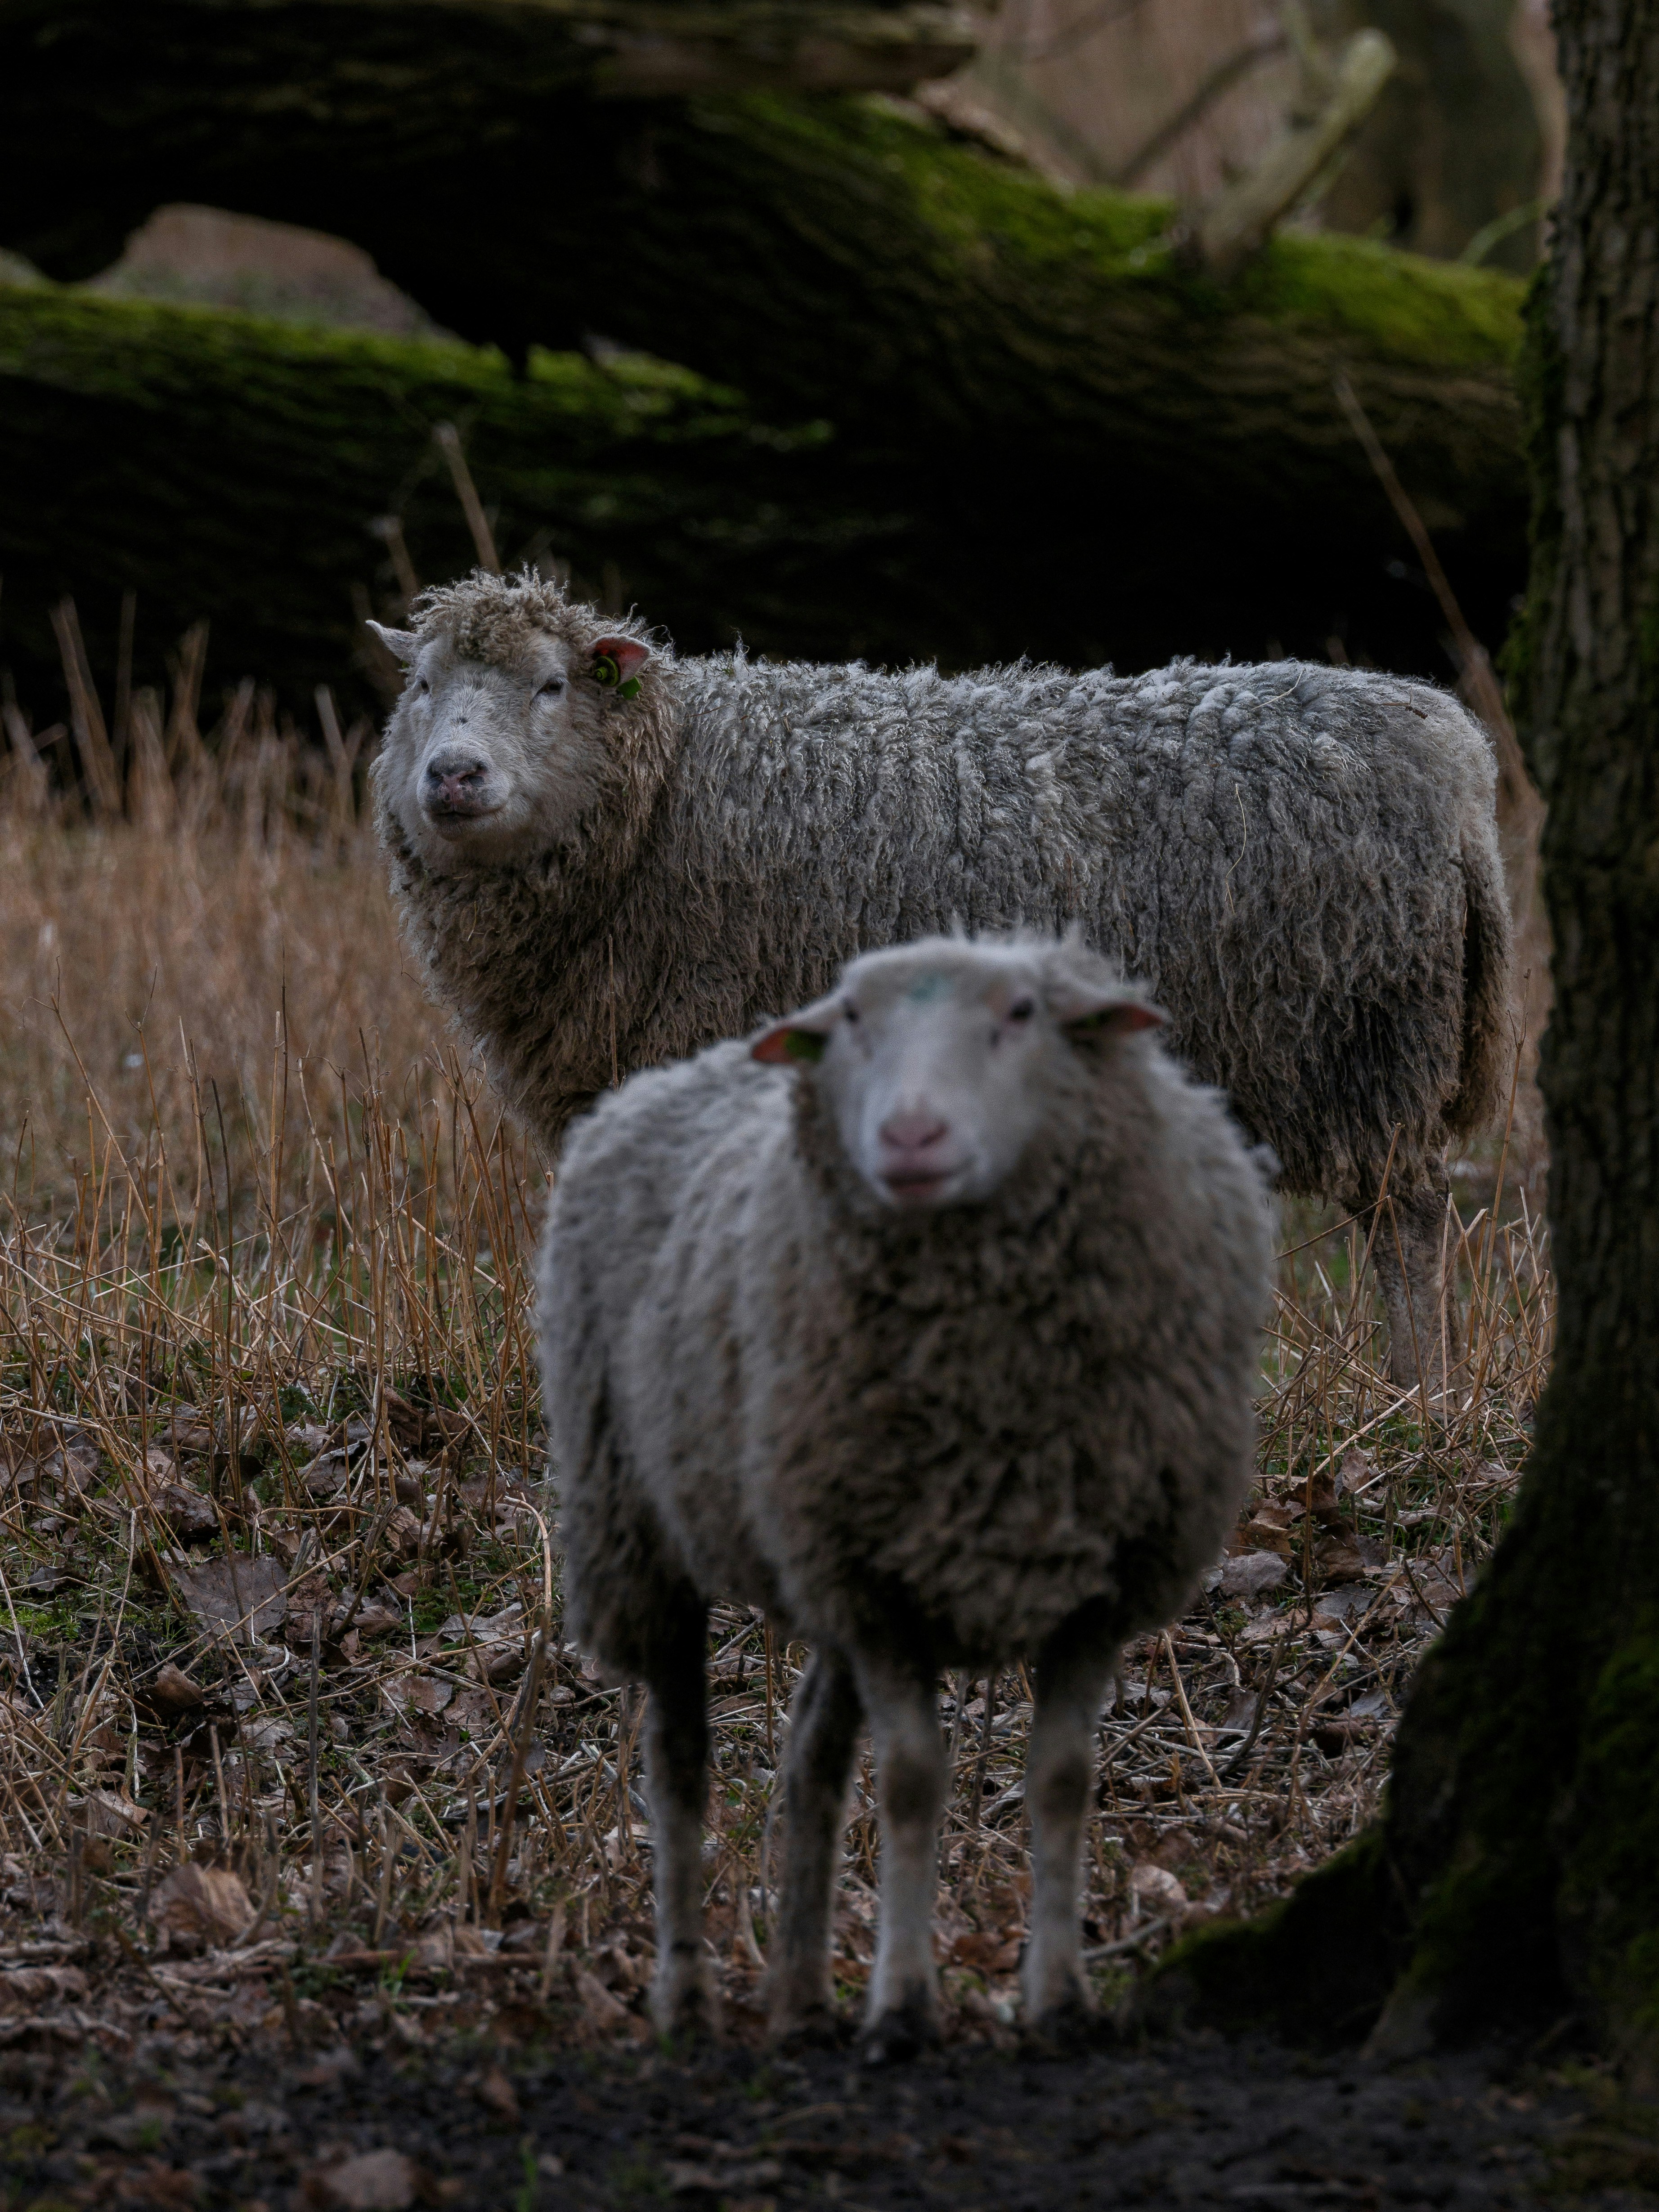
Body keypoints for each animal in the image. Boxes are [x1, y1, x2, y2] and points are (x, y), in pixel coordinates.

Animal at [372, 568, 1510, 1383]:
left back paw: (1419, 1389)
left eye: (551, 685)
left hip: (1367, 1041)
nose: (453, 776)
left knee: (1406, 1220)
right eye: (421, 685)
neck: (662, 789)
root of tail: (1456, 758)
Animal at [536, 933, 1274, 2056]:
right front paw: (902, 2002)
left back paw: (799, 1992)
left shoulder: (1091, 1585)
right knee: (678, 1759)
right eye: (849, 1019)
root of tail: (663, 1074)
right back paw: (688, 1994)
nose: (909, 1134)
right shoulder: (874, 1586)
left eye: (1020, 1012)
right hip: (637, 1519)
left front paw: (1057, 1995)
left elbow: (1062, 1780)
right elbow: (913, 1782)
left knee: (808, 1749)